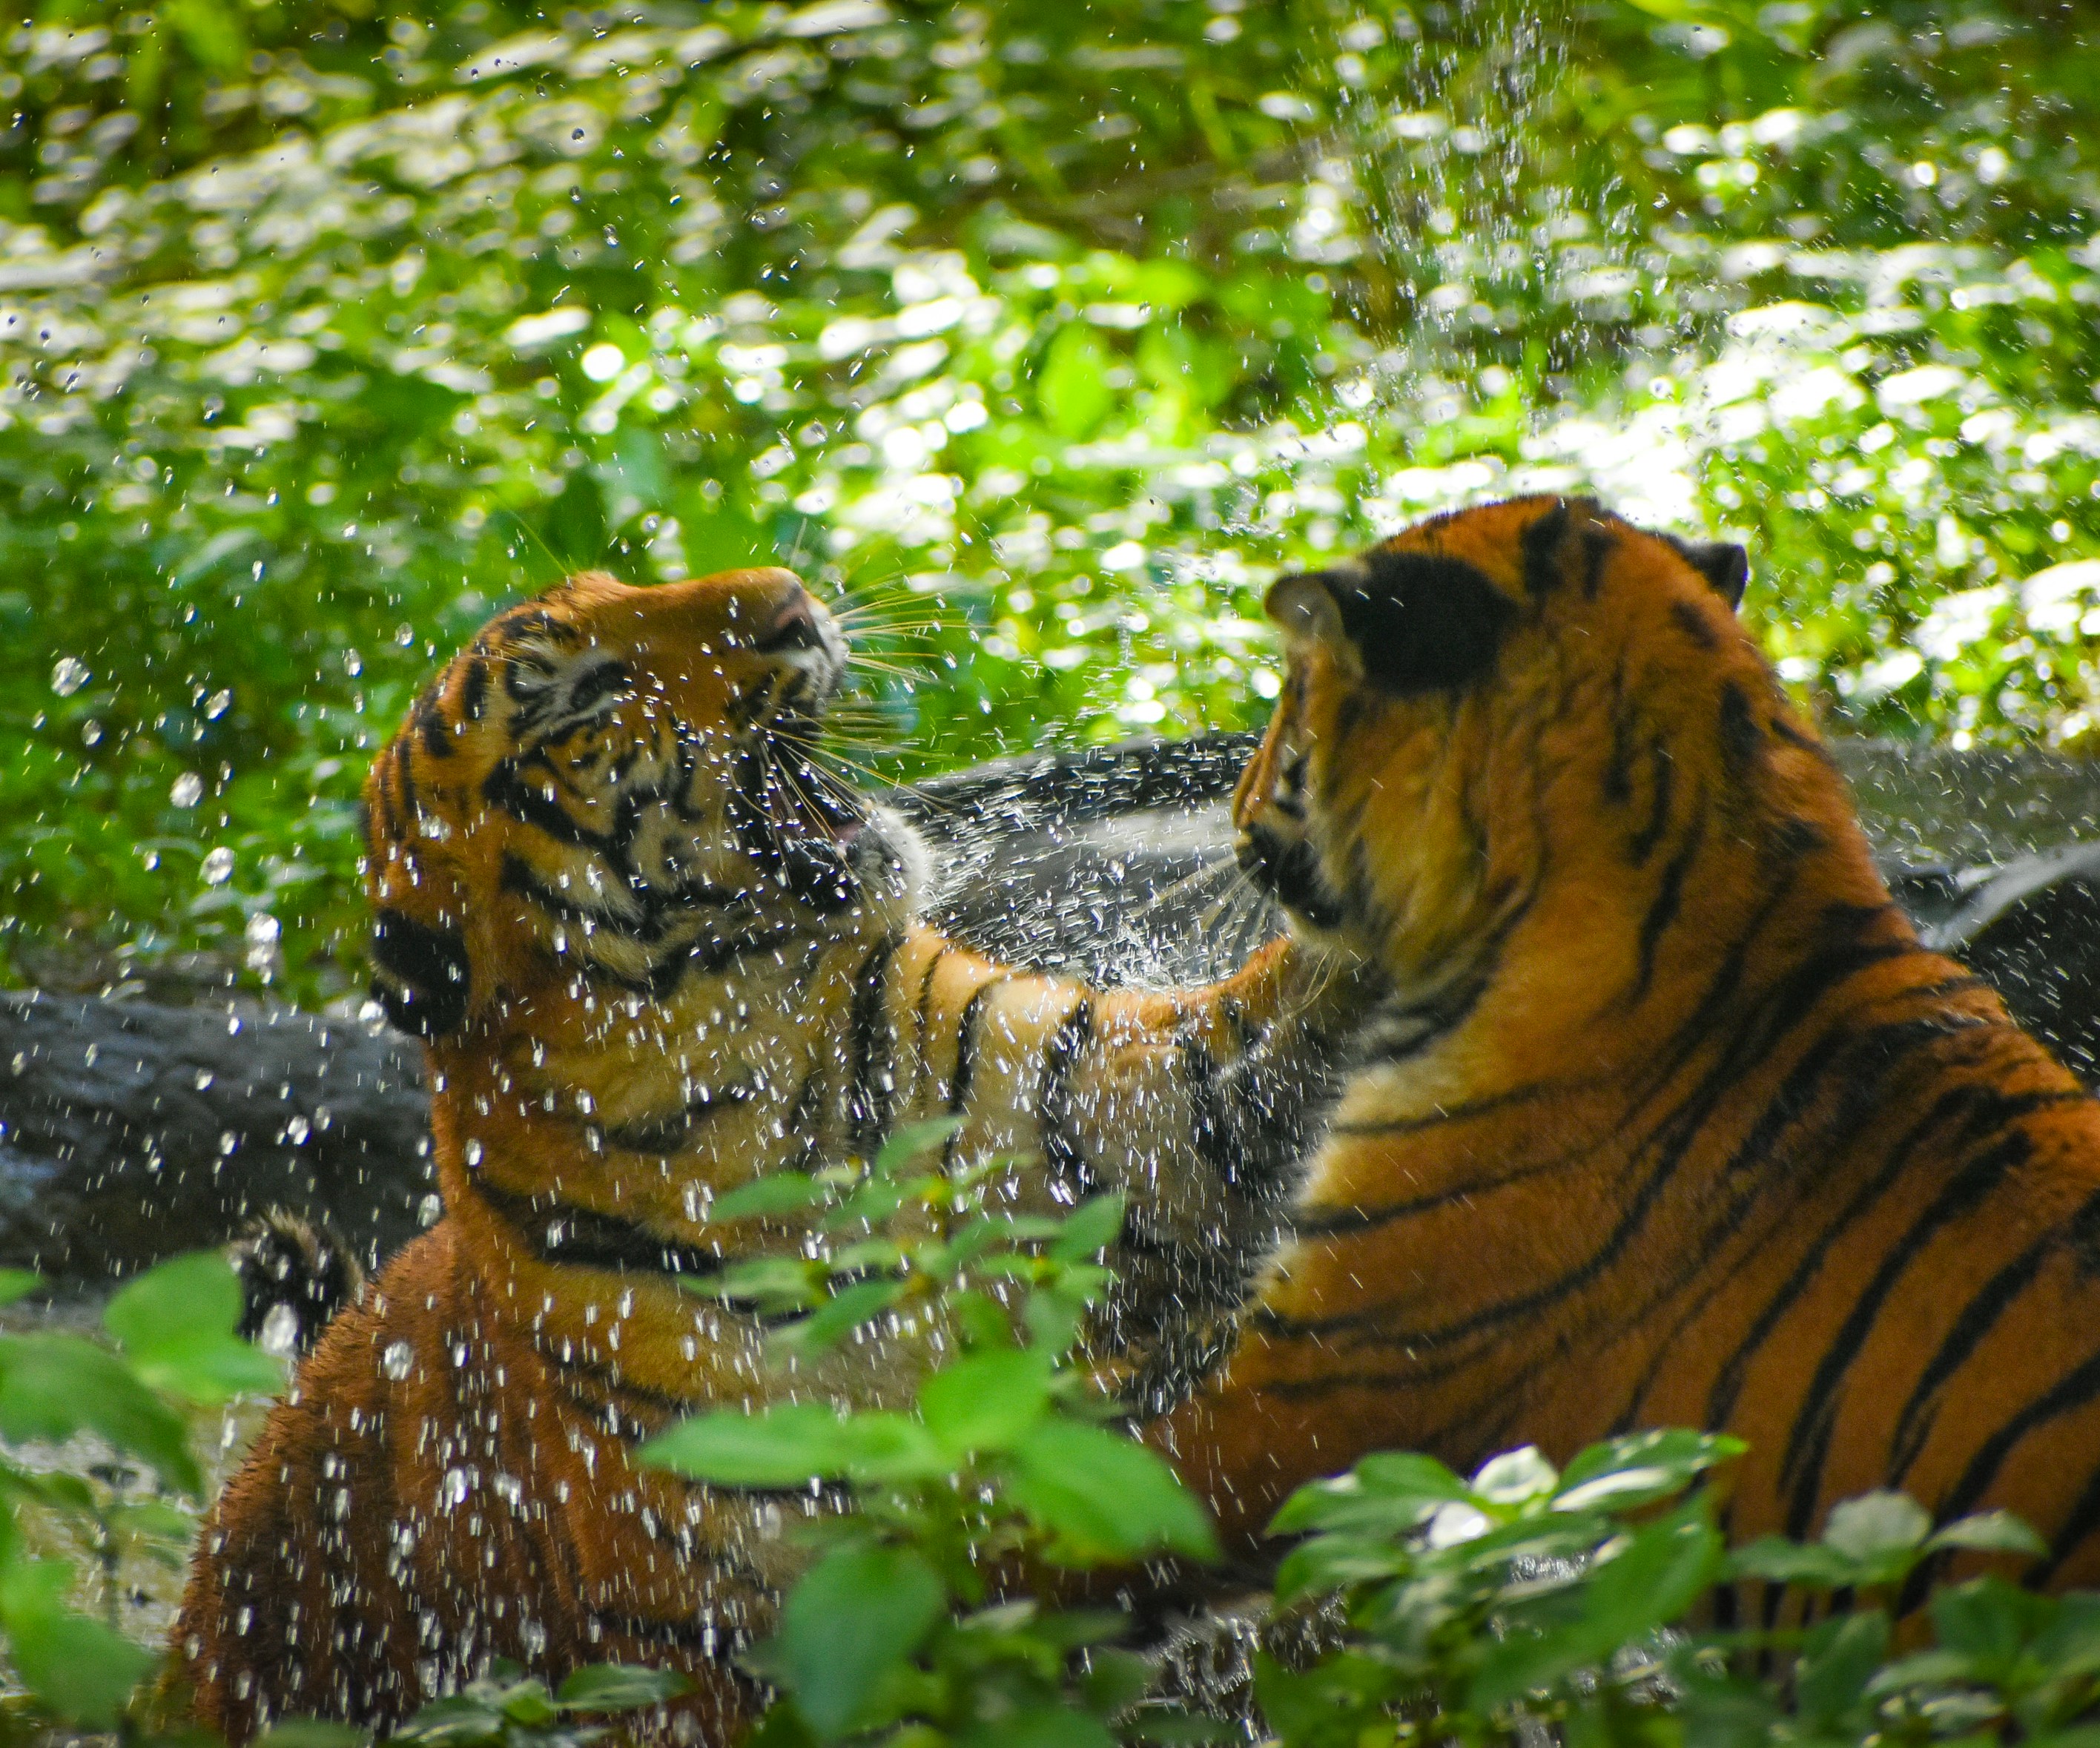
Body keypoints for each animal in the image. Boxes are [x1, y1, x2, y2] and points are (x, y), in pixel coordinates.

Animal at [168, 565, 1368, 1742]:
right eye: (580, 695)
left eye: (622, 582)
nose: (795, 603)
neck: (793, 1085)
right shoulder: (715, 1651)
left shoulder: (1112, 1102)